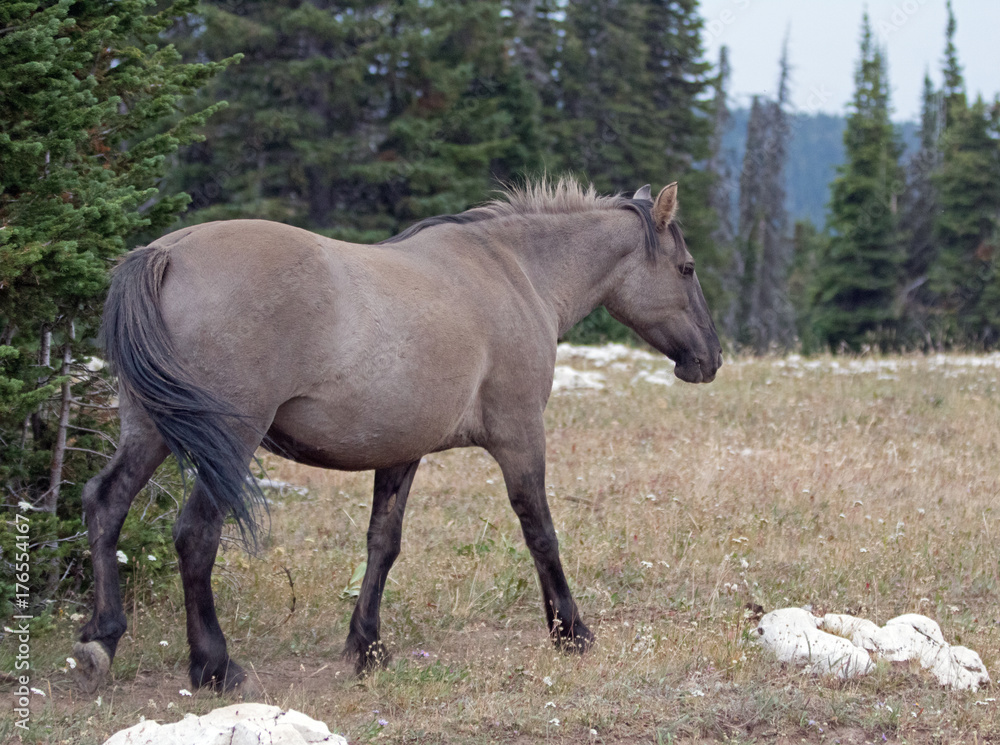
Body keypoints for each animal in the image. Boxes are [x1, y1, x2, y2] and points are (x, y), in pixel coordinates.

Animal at [72, 178, 722, 696]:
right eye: (687, 269)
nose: (710, 359)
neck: (513, 273)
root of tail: (165, 253)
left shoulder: (401, 450)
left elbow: (382, 544)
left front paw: (368, 646)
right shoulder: (520, 436)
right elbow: (540, 531)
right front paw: (571, 632)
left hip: (150, 430)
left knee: (106, 504)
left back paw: (101, 640)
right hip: (227, 441)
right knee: (196, 534)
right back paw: (214, 665)